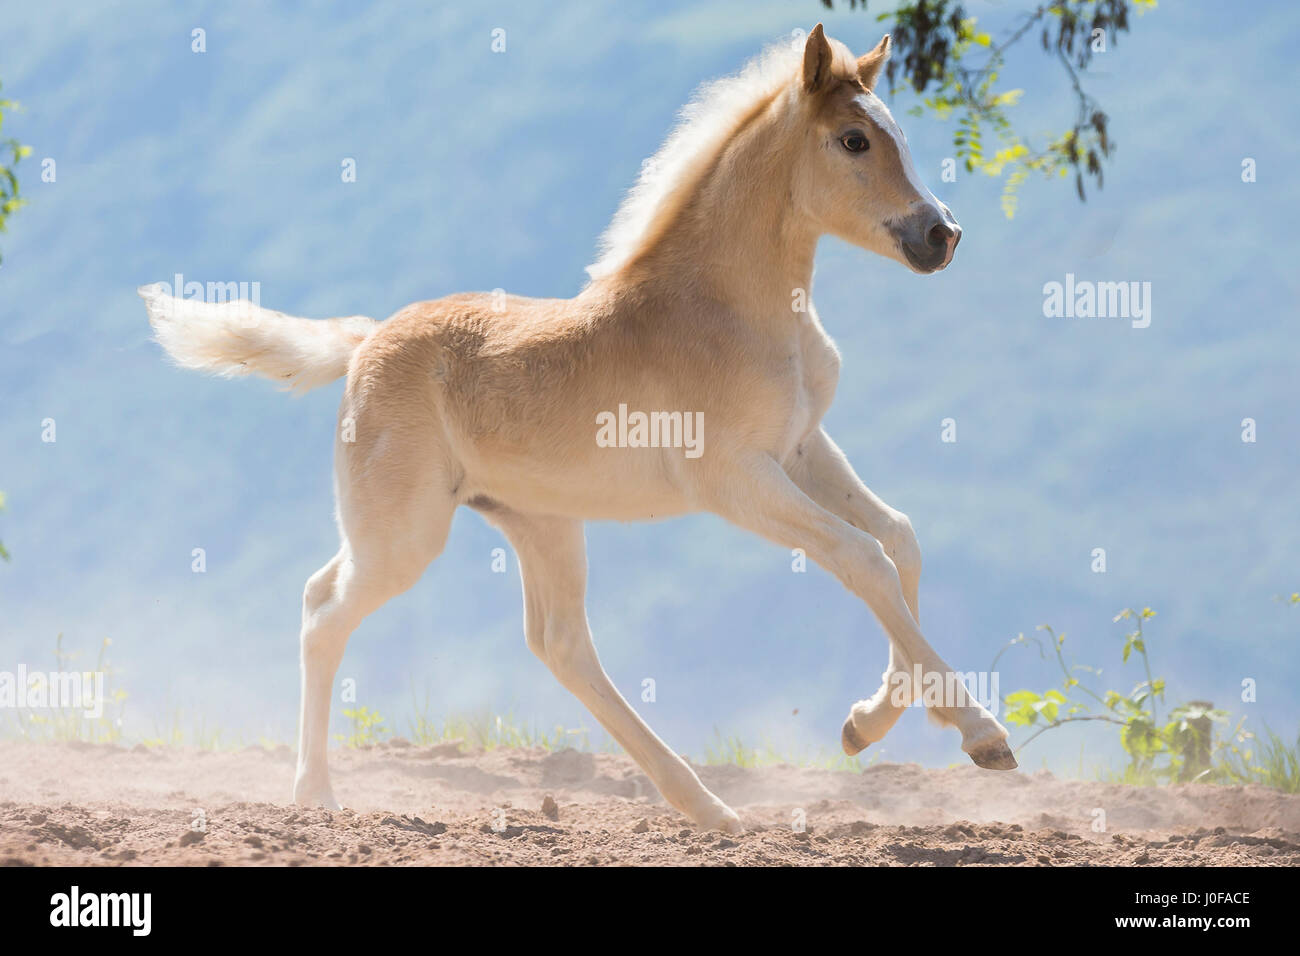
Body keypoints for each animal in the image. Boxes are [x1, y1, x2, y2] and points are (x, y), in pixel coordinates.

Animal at [138, 24, 1015, 834]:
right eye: (855, 139)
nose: (941, 235)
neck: (729, 308)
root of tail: (365, 340)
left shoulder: (802, 448)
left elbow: (898, 540)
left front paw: (867, 724)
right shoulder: (734, 478)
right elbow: (860, 557)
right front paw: (981, 735)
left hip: (538, 521)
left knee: (560, 645)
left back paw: (708, 808)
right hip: (404, 532)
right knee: (325, 609)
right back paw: (315, 795)